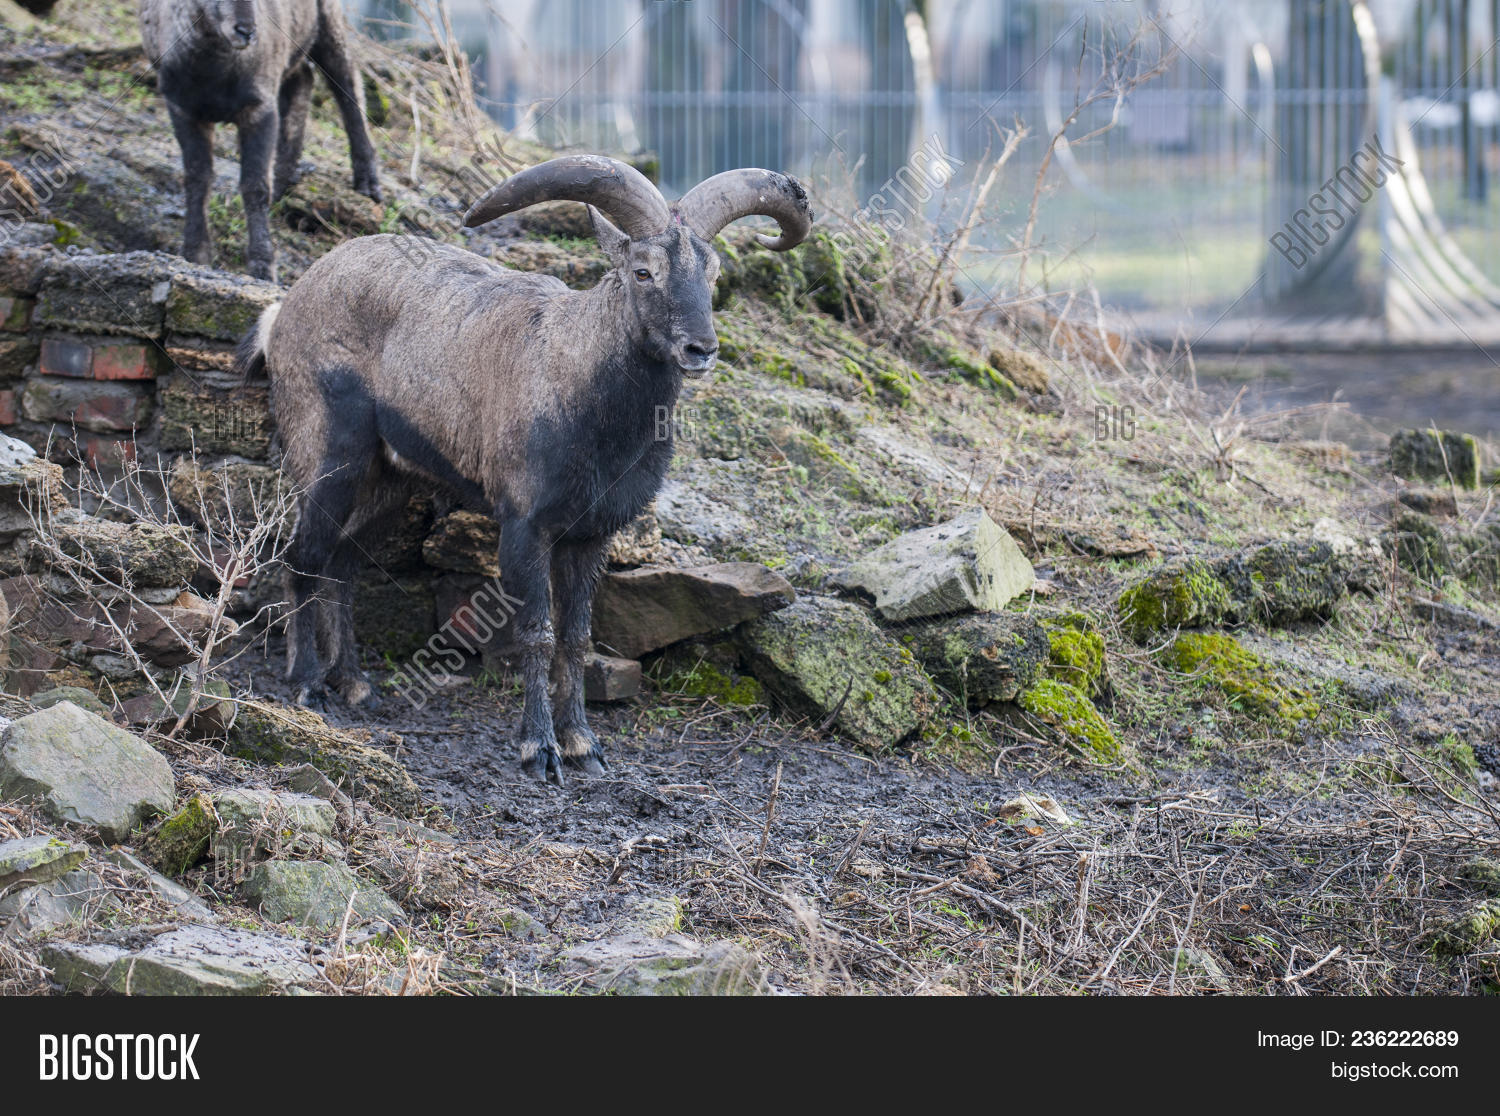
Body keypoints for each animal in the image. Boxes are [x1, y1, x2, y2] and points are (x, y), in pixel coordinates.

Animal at [140, 0, 382, 281]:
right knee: (302, 80)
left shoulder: (260, 108)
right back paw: (283, 179)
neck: (214, 70)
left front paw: (263, 265)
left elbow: (254, 185)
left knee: (346, 82)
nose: (246, 31)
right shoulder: (182, 109)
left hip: (327, 21)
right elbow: (197, 178)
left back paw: (368, 182)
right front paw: (195, 252)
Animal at [240, 155, 811, 783]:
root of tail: (285, 308)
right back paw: (307, 684)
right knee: (303, 554)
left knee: (342, 561)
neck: (579, 387)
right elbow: (537, 633)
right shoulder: (524, 525)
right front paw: (539, 749)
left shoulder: (591, 535)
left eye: (711, 273)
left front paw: (584, 744)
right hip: (328, 453)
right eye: (642, 271)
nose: (700, 349)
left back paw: (355, 683)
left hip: (393, 477)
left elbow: (577, 635)